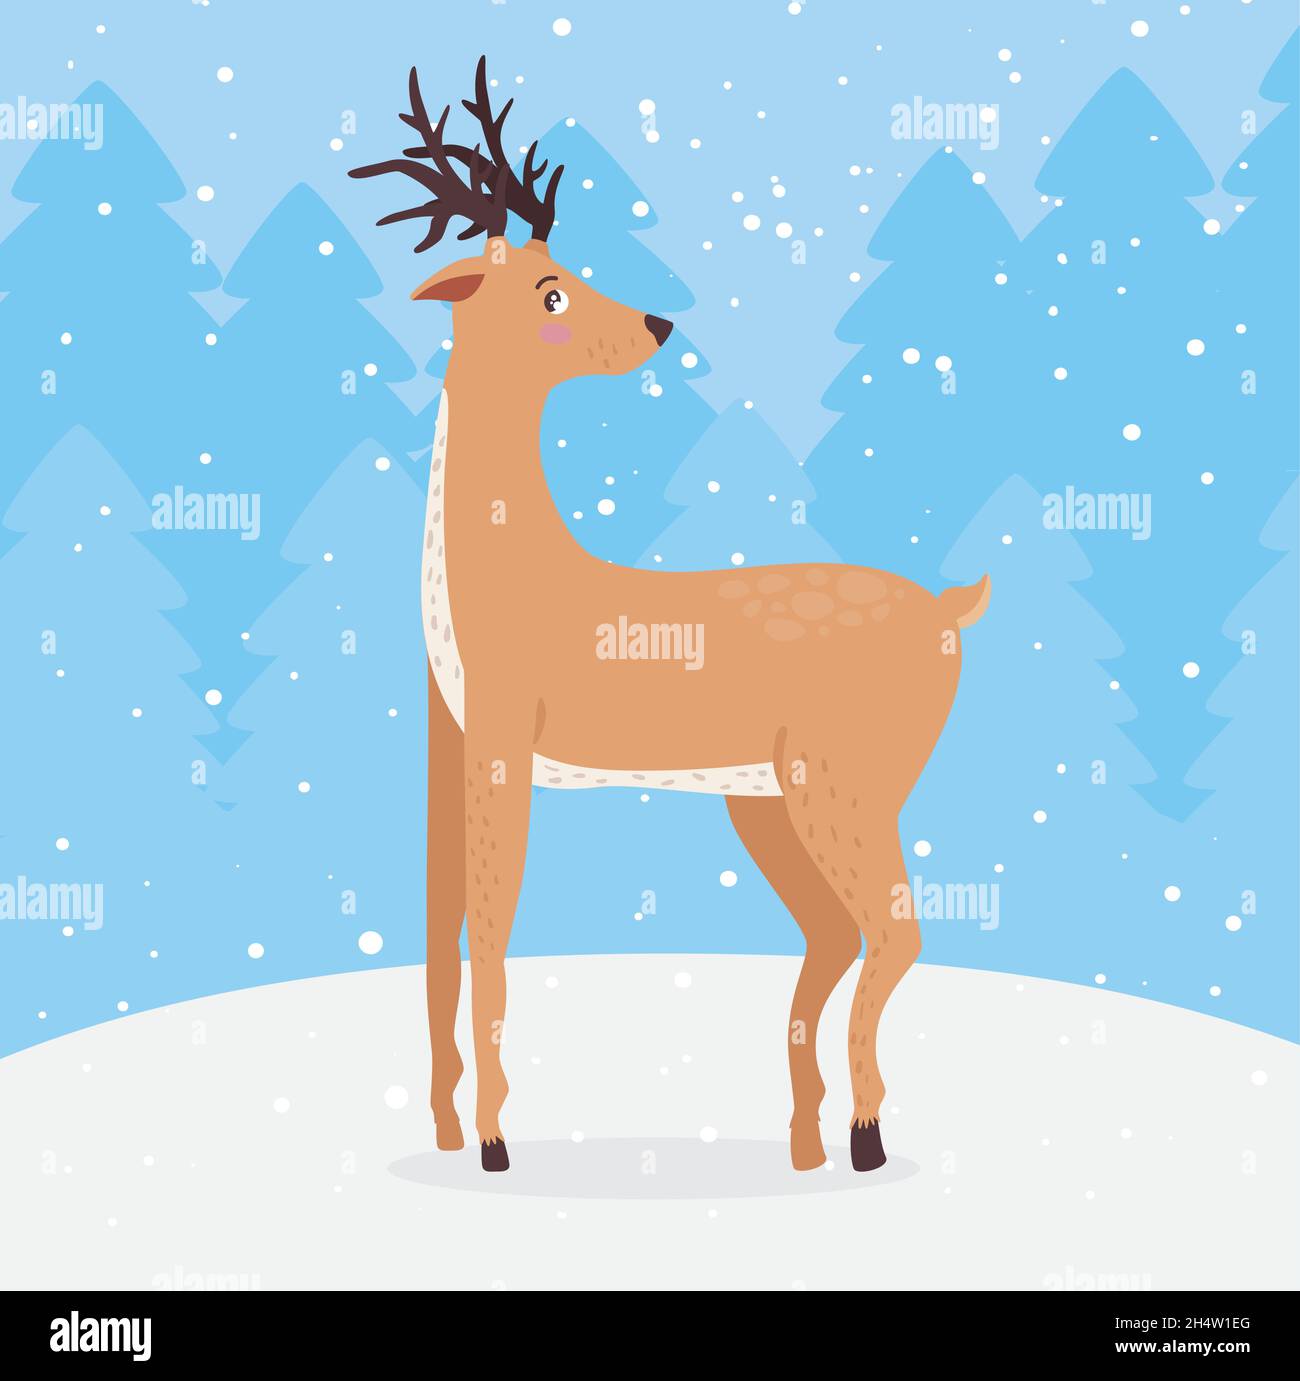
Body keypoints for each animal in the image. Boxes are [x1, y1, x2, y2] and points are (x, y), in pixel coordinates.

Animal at [350, 59, 990, 1175]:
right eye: (549, 288)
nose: (657, 323)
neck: (493, 573)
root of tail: (954, 610)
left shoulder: (507, 733)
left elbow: (491, 933)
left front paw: (496, 1140)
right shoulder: (451, 734)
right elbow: (439, 934)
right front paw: (445, 1130)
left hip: (851, 778)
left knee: (896, 928)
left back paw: (866, 1133)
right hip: (767, 797)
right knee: (837, 932)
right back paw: (806, 1139)